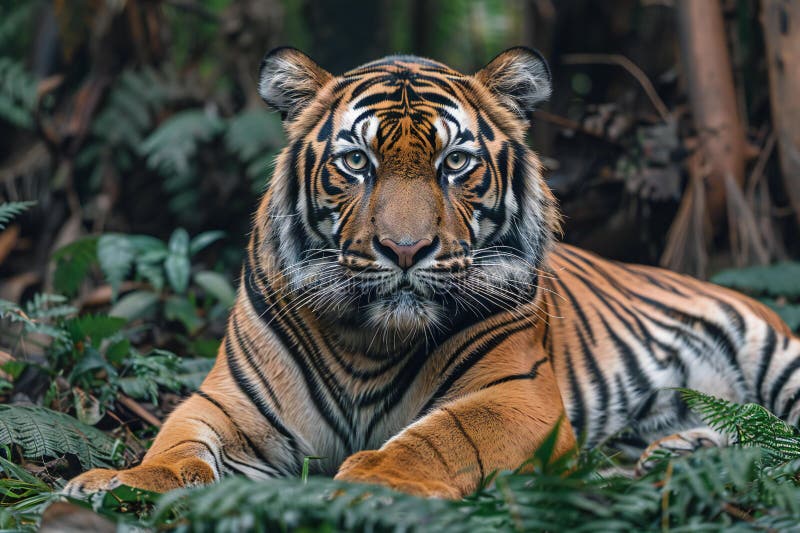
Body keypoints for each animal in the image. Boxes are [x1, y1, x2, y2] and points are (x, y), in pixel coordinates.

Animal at [65, 47, 800, 499]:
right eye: (356, 161)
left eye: (455, 163)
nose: (405, 248)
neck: (368, 340)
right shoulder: (227, 402)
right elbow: (178, 442)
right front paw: (121, 484)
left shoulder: (516, 398)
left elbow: (438, 440)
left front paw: (372, 482)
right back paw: (682, 452)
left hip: (777, 356)